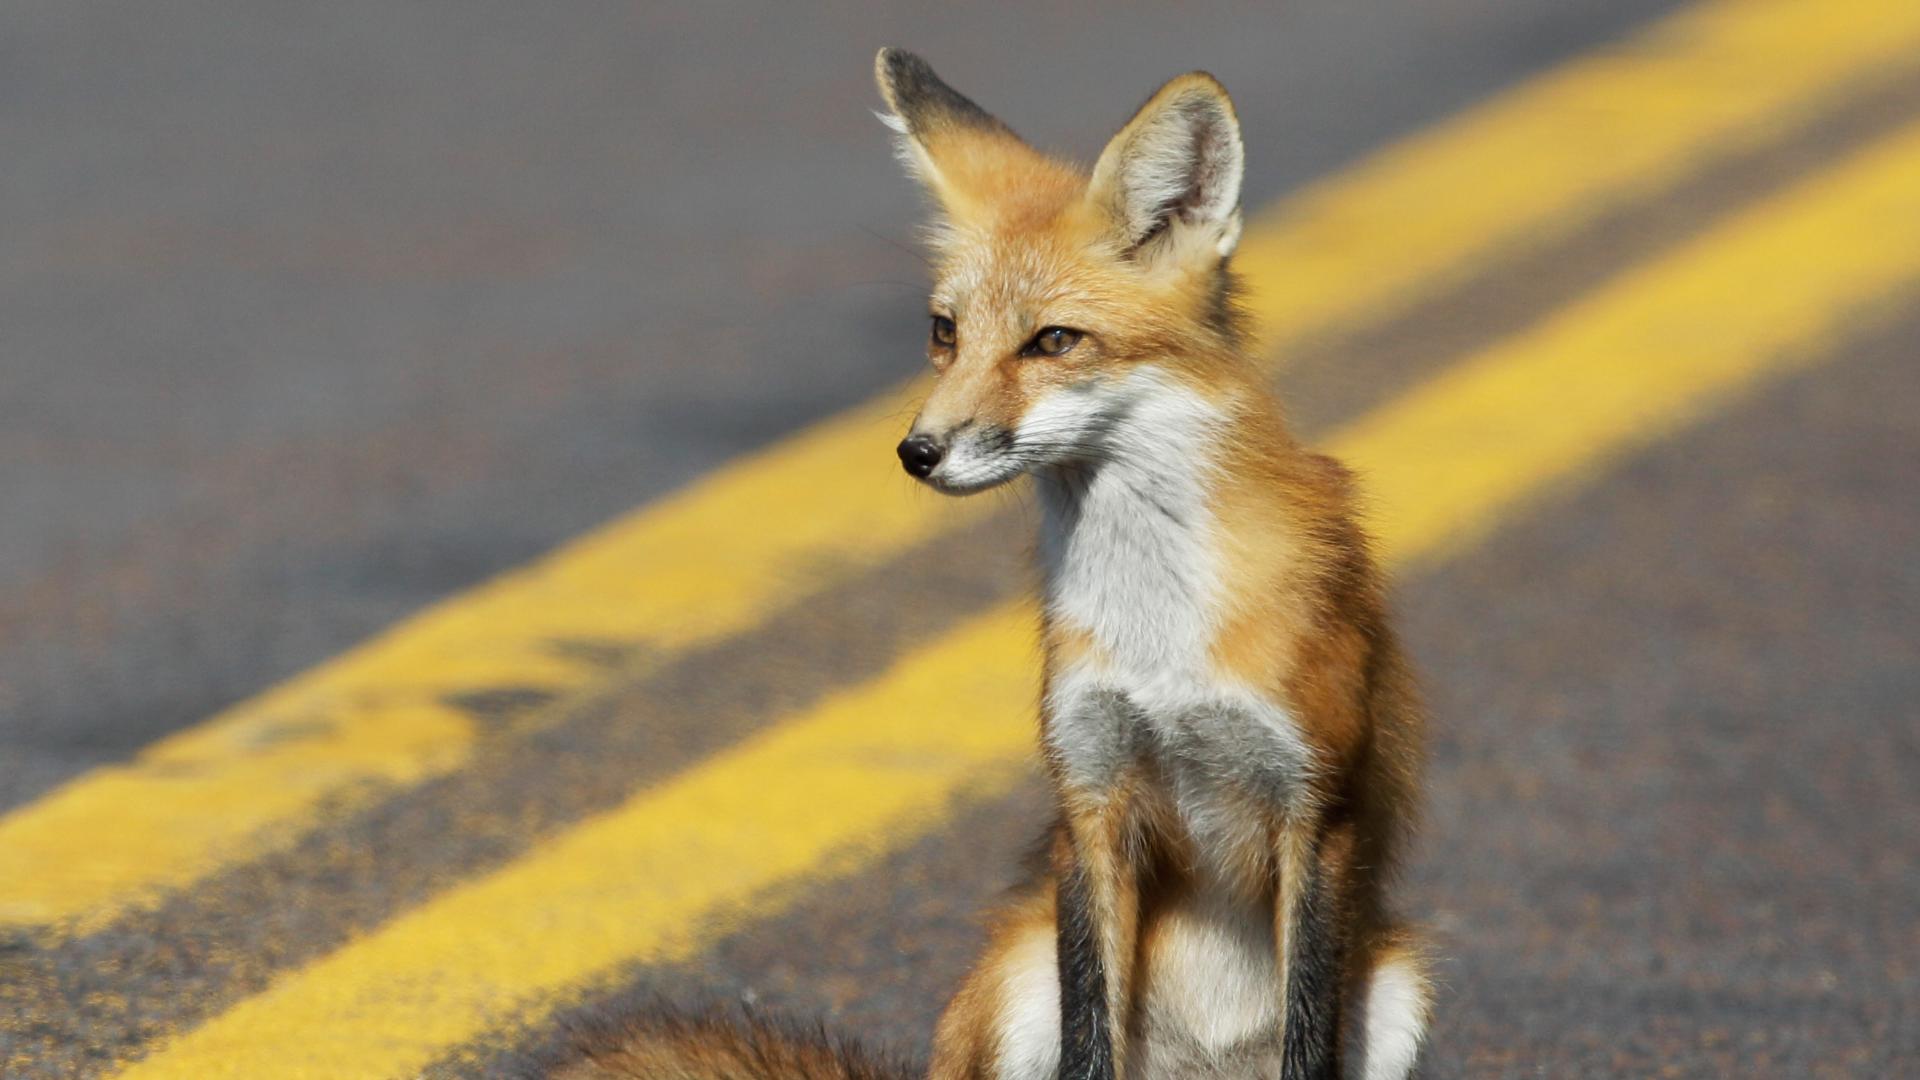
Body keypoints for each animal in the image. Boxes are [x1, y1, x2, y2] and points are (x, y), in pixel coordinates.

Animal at [543, 50, 1431, 1080]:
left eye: (1053, 341)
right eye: (944, 332)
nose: (916, 452)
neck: (1159, 636)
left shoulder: (1317, 809)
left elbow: (1305, 1040)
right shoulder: (1090, 801)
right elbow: (1092, 1040)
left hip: (1398, 988)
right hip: (1017, 977)